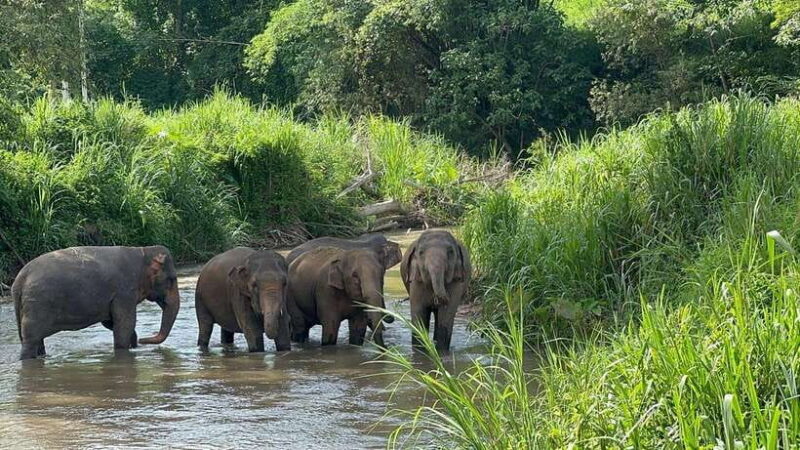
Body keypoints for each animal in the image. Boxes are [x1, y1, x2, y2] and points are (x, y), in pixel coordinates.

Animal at [12, 245, 181, 360]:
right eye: (172, 279)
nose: (143, 340)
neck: (143, 251)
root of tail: (20, 279)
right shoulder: (124, 290)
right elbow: (124, 323)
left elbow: (111, 322)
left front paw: (133, 343)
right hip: (37, 306)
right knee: (31, 340)